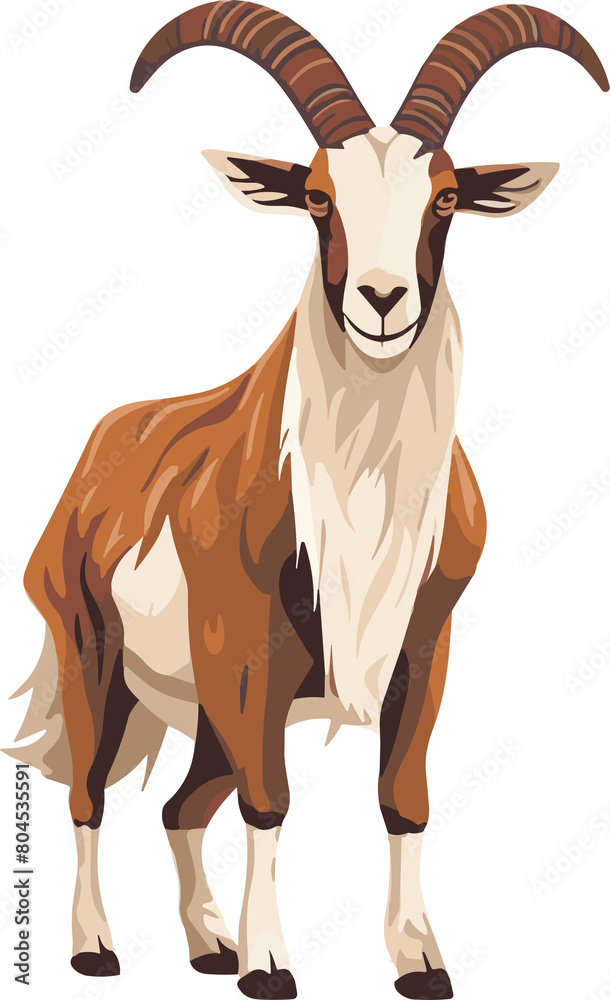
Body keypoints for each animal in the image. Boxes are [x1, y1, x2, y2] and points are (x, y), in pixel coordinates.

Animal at [7, 4, 607, 998]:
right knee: (89, 789)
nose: (382, 300)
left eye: (445, 196)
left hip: (201, 707)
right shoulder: (248, 661)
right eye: (320, 197)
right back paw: (96, 949)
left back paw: (206, 947)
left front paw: (420, 963)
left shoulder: (421, 652)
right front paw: (270, 968)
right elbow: (270, 802)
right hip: (93, 652)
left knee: (180, 804)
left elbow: (404, 799)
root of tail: (101, 454)